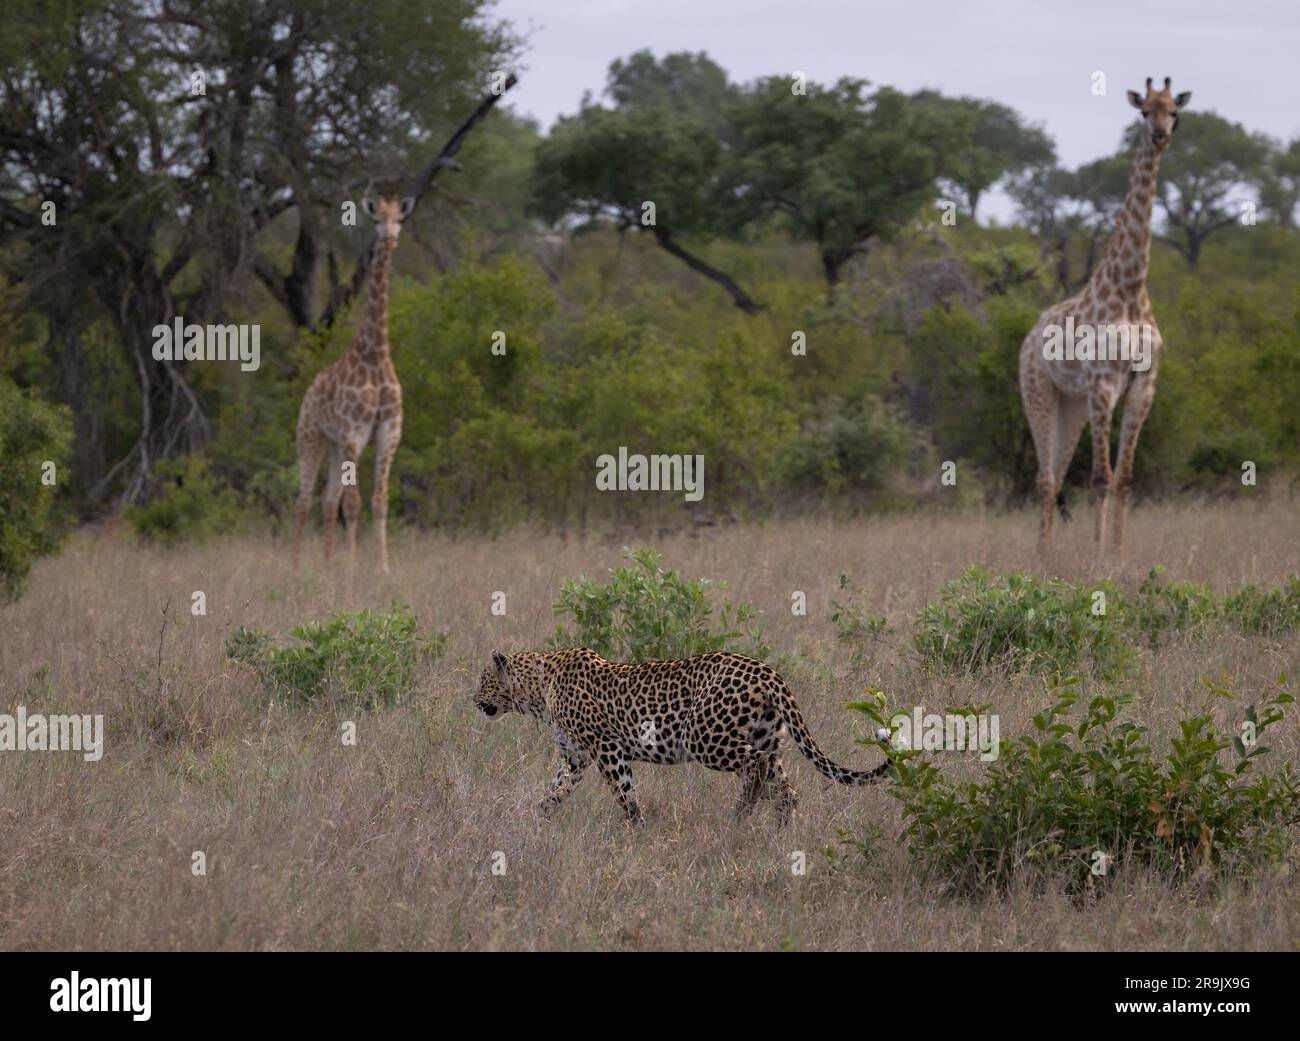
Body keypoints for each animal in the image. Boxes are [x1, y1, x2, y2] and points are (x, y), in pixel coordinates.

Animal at [293, 194, 412, 574]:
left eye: (400, 219)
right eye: (376, 219)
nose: (389, 239)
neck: (375, 356)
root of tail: (308, 392)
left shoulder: (389, 433)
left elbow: (379, 500)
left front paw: (383, 568)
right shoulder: (353, 436)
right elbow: (354, 502)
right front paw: (352, 566)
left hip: (332, 446)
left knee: (328, 500)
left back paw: (327, 564)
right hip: (311, 438)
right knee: (305, 500)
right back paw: (296, 566)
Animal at [474, 647, 891, 825]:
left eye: (482, 680)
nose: (474, 701)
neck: (537, 692)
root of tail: (768, 671)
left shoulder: (607, 748)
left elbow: (625, 794)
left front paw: (637, 830)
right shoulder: (575, 757)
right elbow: (555, 789)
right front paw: (537, 818)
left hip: (703, 737)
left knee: (754, 767)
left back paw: (739, 817)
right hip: (767, 737)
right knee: (786, 790)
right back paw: (778, 832)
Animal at [1019, 77, 1190, 559]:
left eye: (1174, 112)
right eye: (1143, 112)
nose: (1160, 136)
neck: (1130, 290)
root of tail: (1028, 337)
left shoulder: (1143, 386)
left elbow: (1125, 478)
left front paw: (1118, 552)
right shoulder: (1102, 385)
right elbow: (1100, 478)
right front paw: (1098, 557)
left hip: (1072, 404)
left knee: (1058, 474)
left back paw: (1049, 551)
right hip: (1039, 393)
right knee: (1045, 478)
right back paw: (1041, 556)